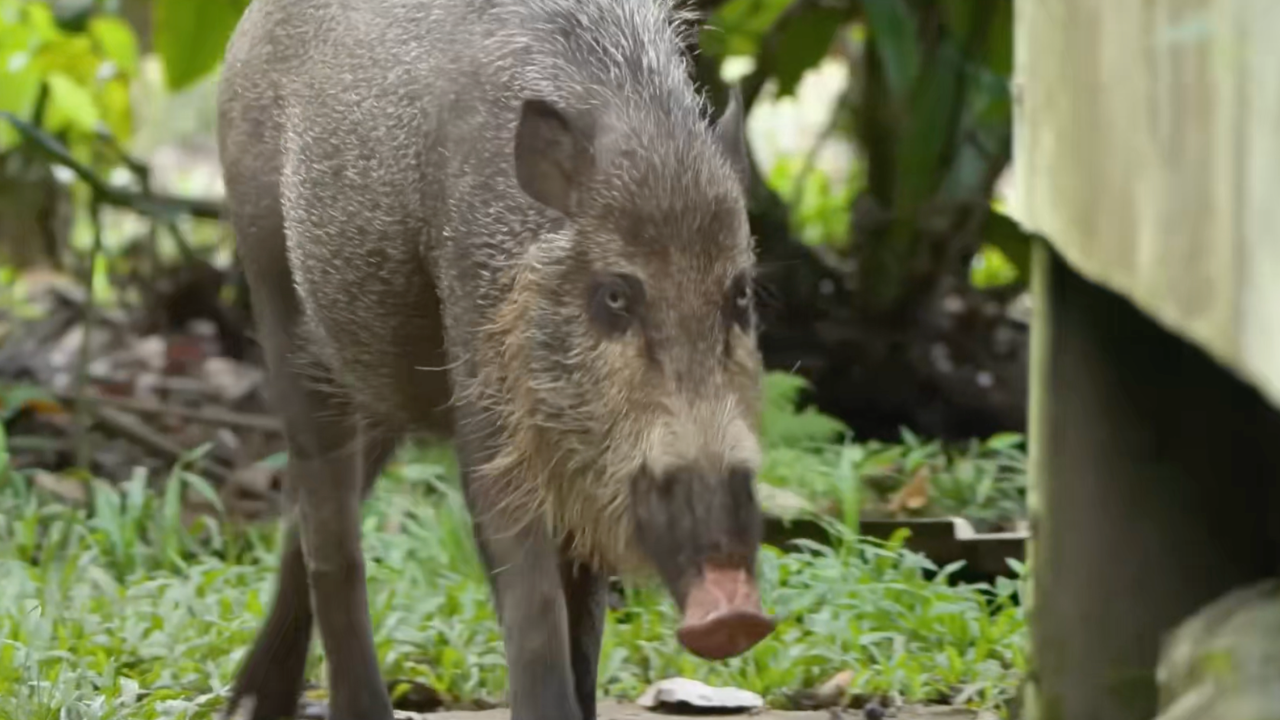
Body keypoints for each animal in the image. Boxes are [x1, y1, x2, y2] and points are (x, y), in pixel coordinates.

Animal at [215, 1, 774, 719]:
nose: (733, 616)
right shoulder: (479, 353)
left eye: (739, 296)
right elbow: (526, 583)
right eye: (615, 296)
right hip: (276, 293)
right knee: (328, 530)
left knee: (305, 523)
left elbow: (585, 602)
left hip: (378, 375)